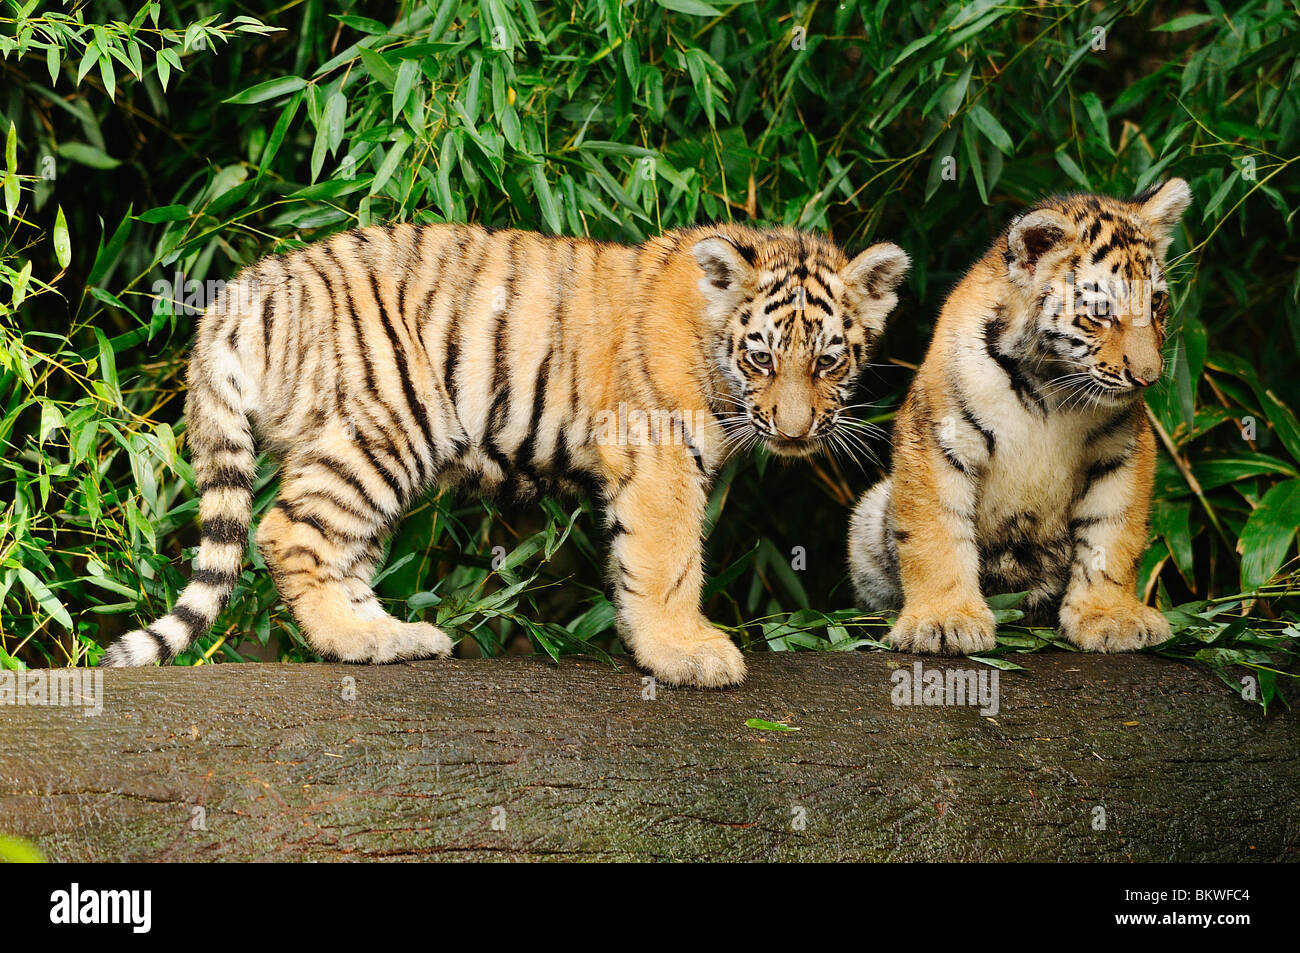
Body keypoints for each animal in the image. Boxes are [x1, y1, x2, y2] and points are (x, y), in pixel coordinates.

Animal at [100, 222, 910, 687]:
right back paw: (356, 642)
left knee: (342, 551)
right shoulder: (659, 454)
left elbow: (639, 559)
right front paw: (687, 653)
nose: (796, 431)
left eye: (830, 361)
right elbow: (671, 558)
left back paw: (392, 638)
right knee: (288, 532)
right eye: (762, 356)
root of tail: (246, 289)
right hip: (382, 426)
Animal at [848, 179, 1191, 655]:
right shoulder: (937, 437)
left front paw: (1112, 617)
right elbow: (935, 535)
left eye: (1156, 302)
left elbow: (1112, 534)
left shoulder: (1124, 448)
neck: (1053, 384)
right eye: (1101, 312)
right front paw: (943, 622)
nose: (1149, 377)